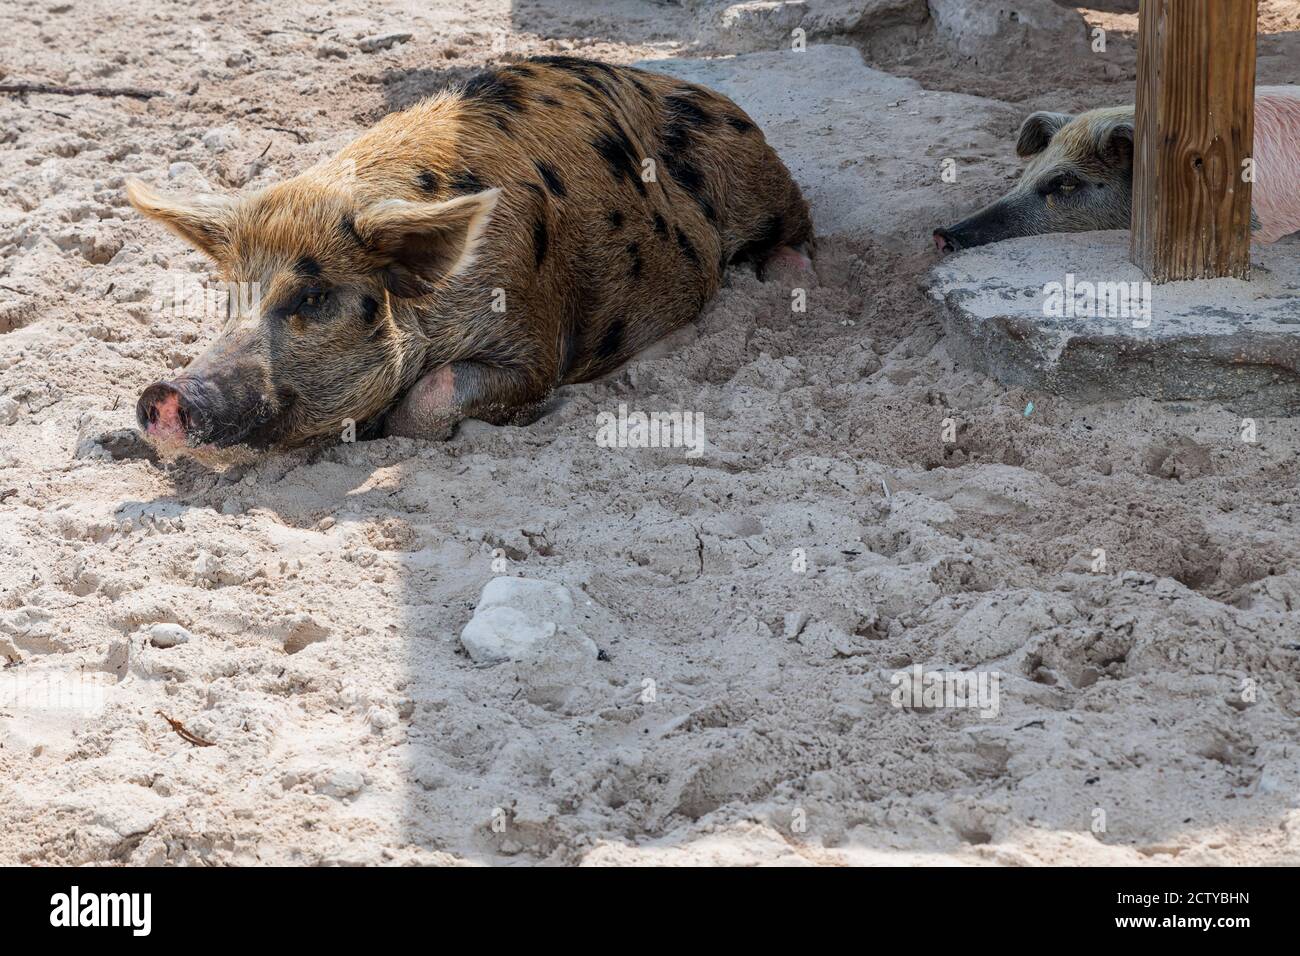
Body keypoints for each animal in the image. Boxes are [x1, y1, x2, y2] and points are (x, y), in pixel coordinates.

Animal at [124, 56, 811, 452]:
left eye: (313, 298)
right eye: (230, 295)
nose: (162, 393)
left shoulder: (537, 340)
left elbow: (436, 399)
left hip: (759, 180)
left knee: (796, 224)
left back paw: (788, 277)